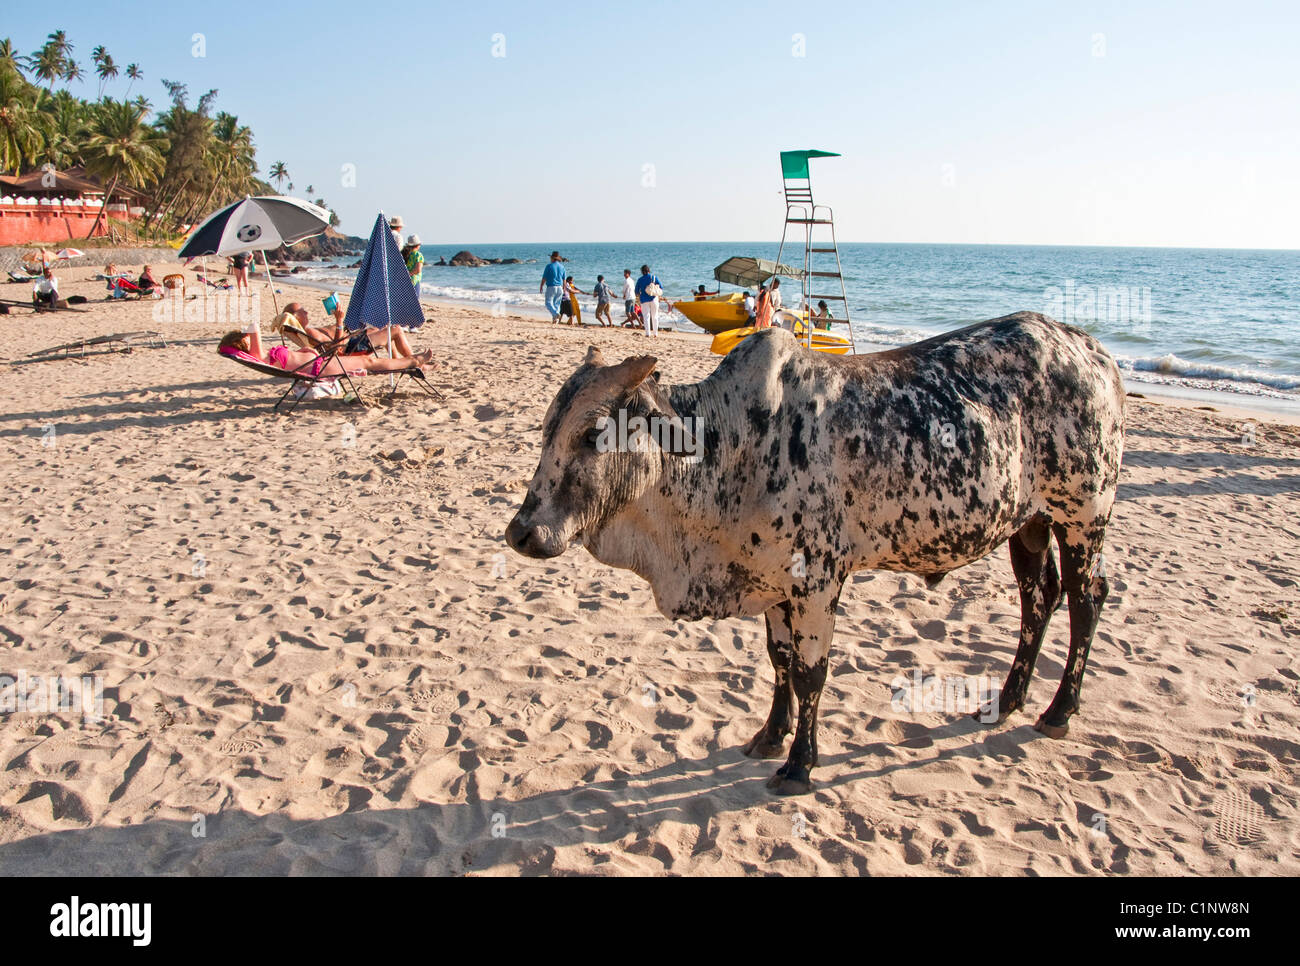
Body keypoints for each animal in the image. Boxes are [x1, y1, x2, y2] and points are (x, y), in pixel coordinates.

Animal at [505, 312, 1125, 794]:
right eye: (547, 428)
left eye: (593, 434)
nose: (521, 533)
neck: (724, 447)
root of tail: (1094, 352)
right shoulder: (772, 583)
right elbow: (778, 663)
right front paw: (769, 735)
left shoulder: (818, 583)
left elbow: (809, 674)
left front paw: (799, 763)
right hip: (1029, 524)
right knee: (1037, 599)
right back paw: (1012, 697)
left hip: (1082, 516)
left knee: (1086, 598)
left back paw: (1058, 710)